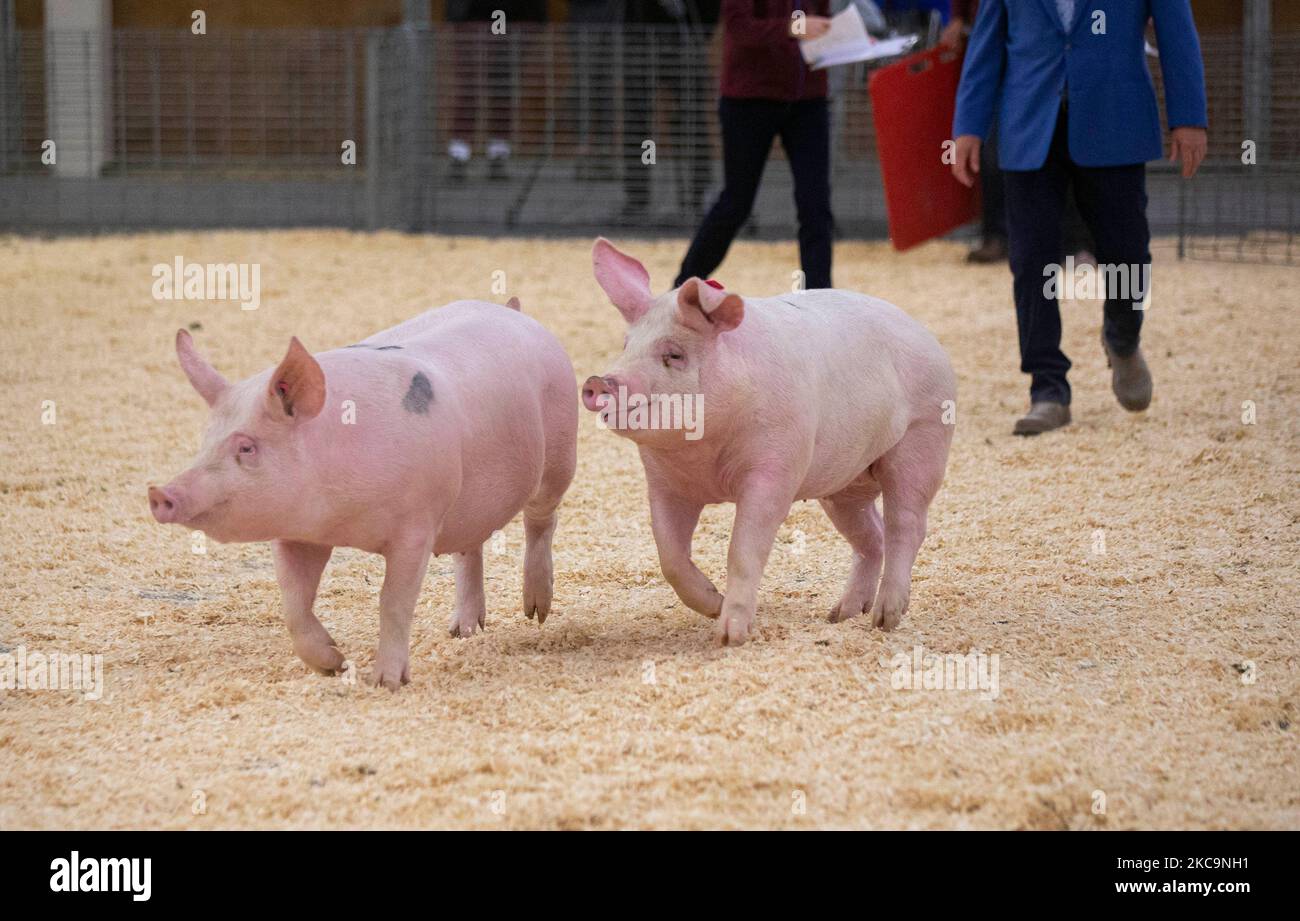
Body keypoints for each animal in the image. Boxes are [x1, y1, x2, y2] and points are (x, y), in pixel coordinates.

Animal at [148, 299, 577, 689]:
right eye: (204, 441)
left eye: (246, 447)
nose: (160, 494)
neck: (343, 519)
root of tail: (512, 310)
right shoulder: (297, 533)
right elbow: (293, 604)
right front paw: (333, 665)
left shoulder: (417, 524)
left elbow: (393, 602)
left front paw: (385, 683)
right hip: (467, 504)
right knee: (469, 547)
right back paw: (463, 631)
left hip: (559, 454)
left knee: (542, 519)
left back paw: (536, 611)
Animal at [582, 239, 954, 646]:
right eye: (626, 345)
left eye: (674, 354)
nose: (598, 382)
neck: (706, 456)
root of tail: (924, 332)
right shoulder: (665, 483)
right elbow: (670, 557)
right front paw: (714, 605)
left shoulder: (776, 469)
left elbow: (743, 550)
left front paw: (730, 636)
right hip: (844, 484)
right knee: (872, 536)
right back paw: (839, 615)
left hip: (923, 439)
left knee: (907, 525)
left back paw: (885, 619)